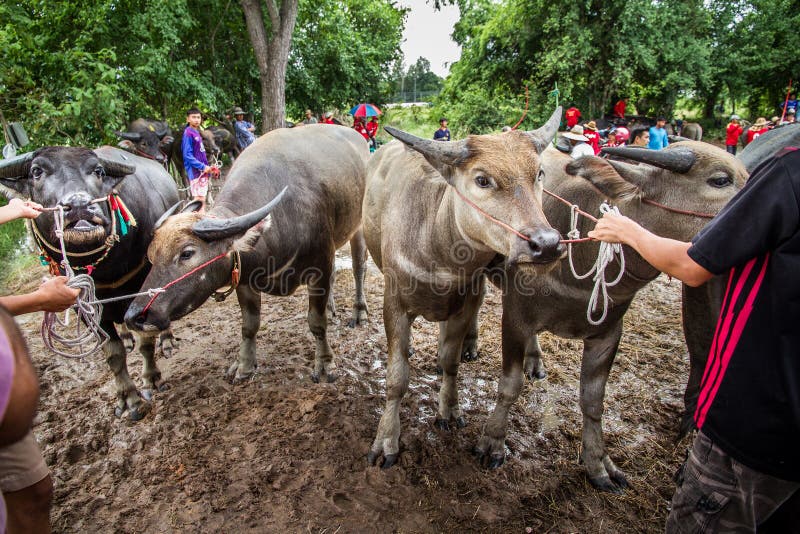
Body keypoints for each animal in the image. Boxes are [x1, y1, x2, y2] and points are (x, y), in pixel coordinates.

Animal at [0, 146, 180, 420]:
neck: (104, 268)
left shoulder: (142, 286)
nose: (78, 206)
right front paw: (128, 399)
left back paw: (167, 340)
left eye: (98, 170)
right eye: (36, 171)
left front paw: (150, 379)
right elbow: (113, 353)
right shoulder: (83, 304)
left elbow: (146, 340)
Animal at [125, 124, 369, 384]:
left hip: (359, 228)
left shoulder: (319, 267)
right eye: (151, 256)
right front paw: (244, 365)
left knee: (358, 268)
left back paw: (359, 312)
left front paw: (324, 364)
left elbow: (316, 322)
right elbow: (249, 326)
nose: (134, 317)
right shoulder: (243, 279)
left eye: (187, 253)